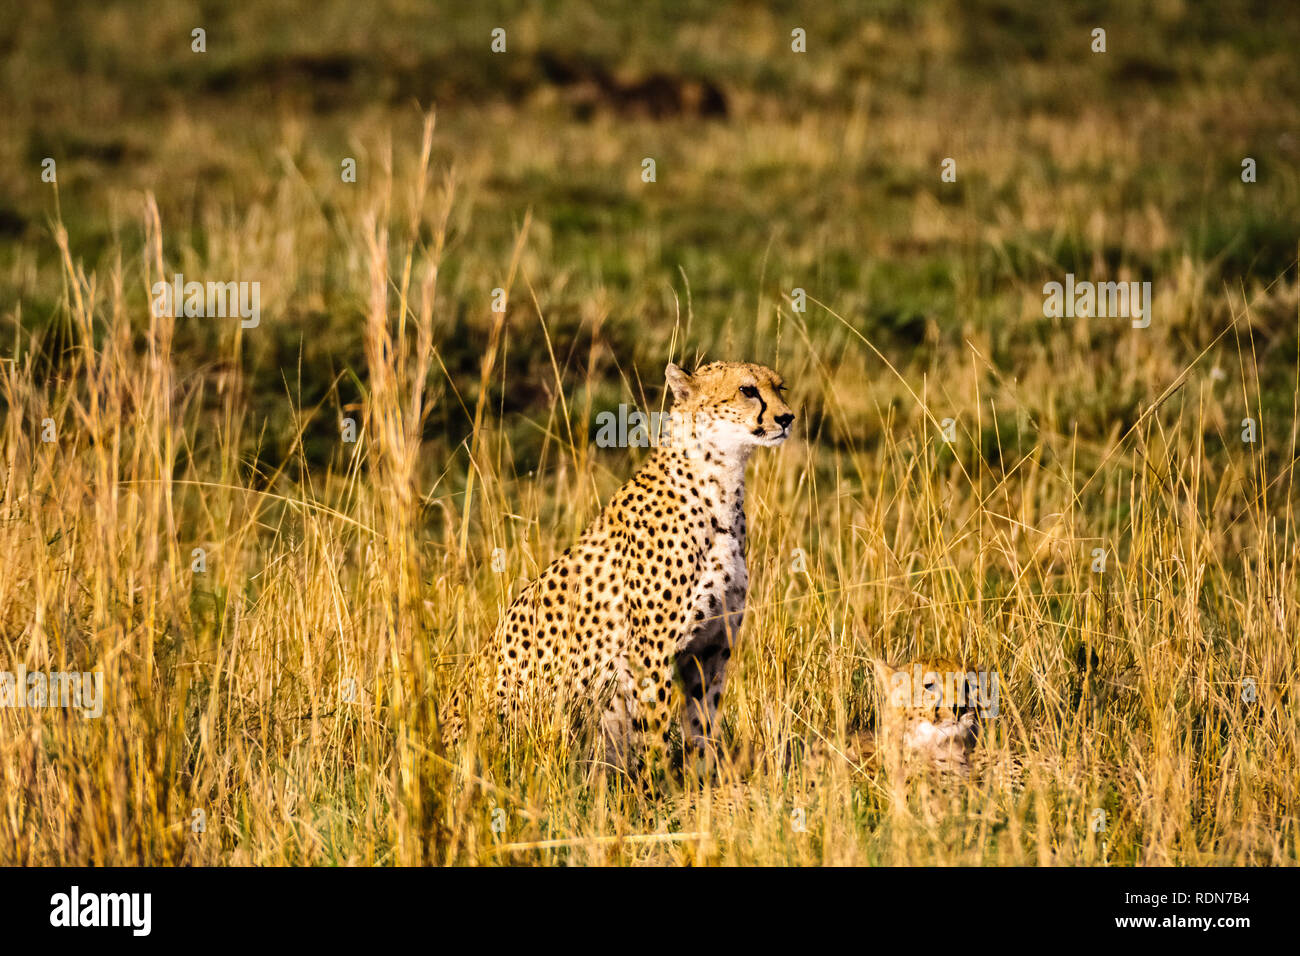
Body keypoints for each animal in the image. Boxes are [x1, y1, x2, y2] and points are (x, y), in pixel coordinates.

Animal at [441, 360, 795, 770]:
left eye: (780, 388)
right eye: (747, 390)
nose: (787, 417)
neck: (720, 482)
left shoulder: (711, 647)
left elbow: (702, 726)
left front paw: (704, 776)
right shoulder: (651, 652)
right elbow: (655, 732)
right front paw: (659, 780)